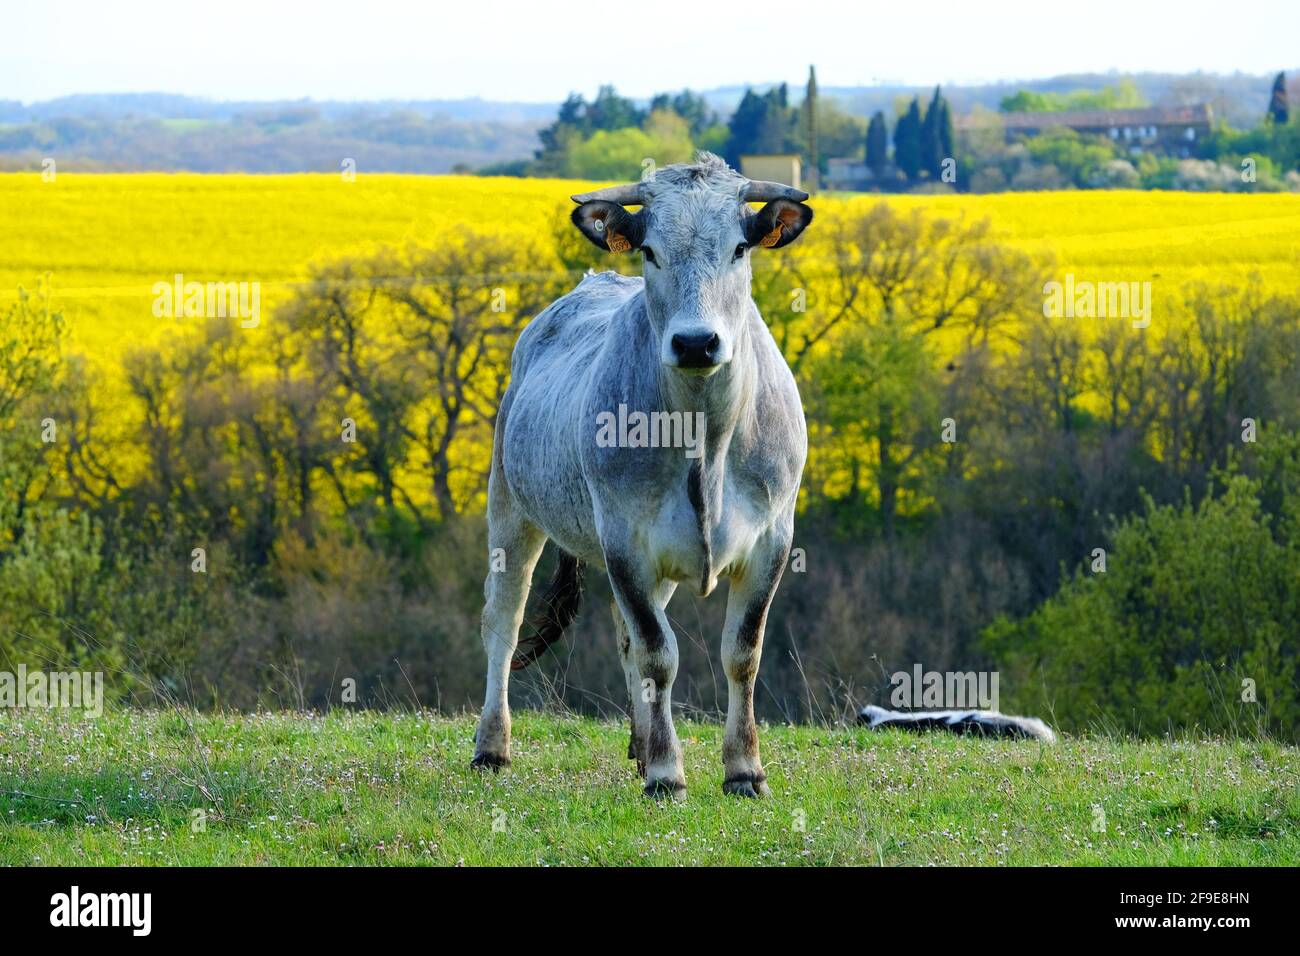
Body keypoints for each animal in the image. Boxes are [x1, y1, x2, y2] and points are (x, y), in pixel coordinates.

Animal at [472, 152, 812, 800]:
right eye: (651, 250)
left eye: (739, 248)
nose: (697, 342)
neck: (705, 437)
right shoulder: (625, 540)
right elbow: (660, 654)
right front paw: (666, 774)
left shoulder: (772, 540)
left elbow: (741, 653)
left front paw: (744, 769)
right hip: (510, 509)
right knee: (503, 621)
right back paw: (492, 748)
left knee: (626, 635)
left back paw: (638, 741)